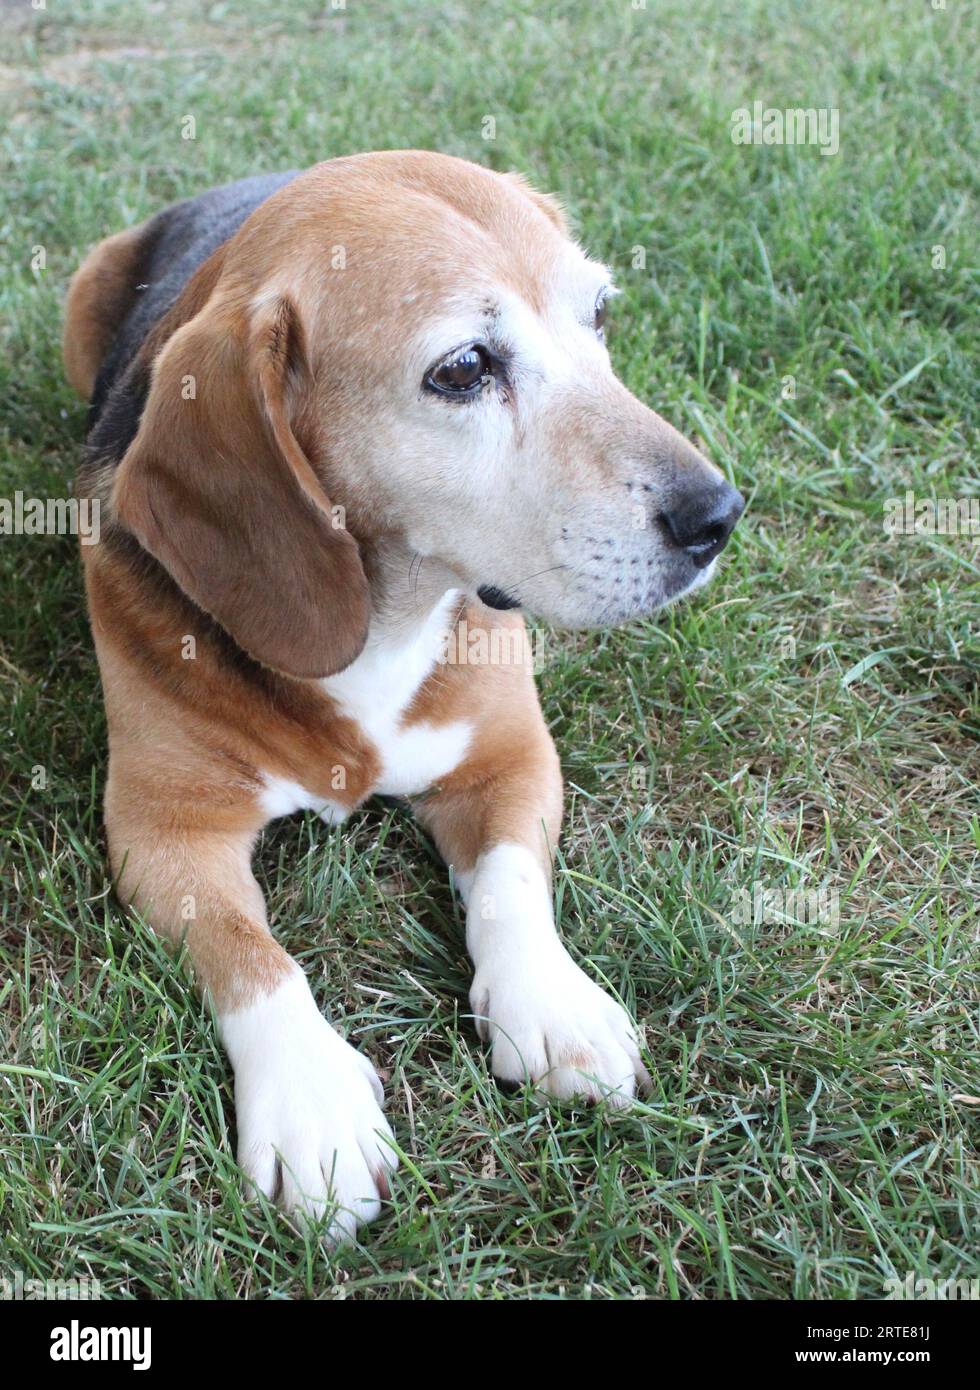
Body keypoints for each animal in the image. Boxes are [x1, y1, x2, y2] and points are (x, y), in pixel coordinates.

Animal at [64, 152, 739, 1239]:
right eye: (461, 369)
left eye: (598, 316)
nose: (718, 515)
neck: (380, 623)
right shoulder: (160, 829)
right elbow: (252, 957)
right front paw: (311, 1107)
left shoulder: (509, 759)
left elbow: (509, 885)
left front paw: (549, 1005)